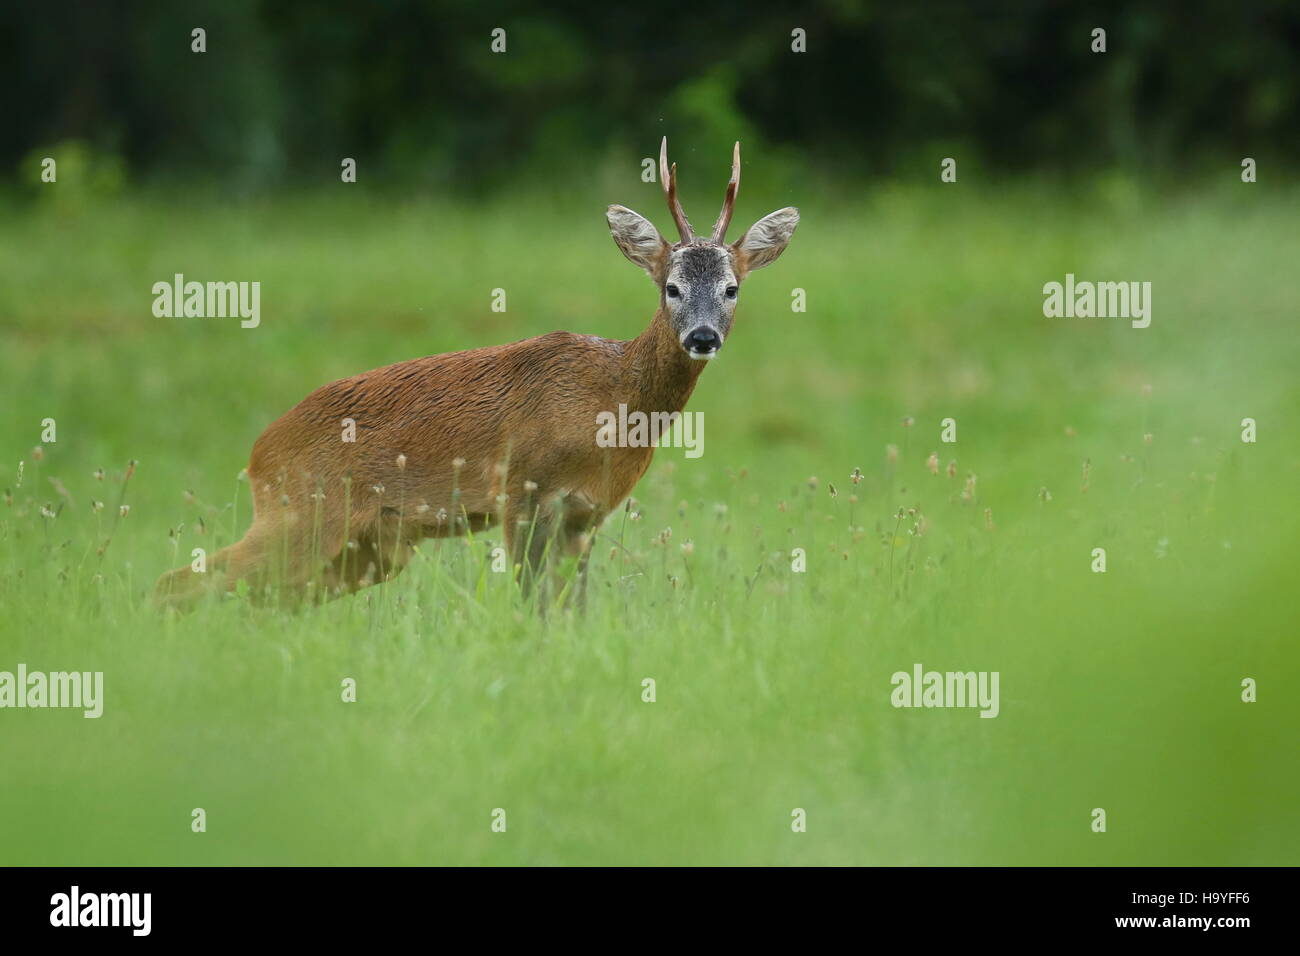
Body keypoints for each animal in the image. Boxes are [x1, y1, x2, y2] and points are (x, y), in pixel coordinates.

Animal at [154, 139, 799, 610]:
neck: (611, 400)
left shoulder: (588, 512)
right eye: (671, 287)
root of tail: (260, 453)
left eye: (731, 288)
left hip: (366, 548)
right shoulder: (521, 489)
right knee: (183, 582)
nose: (703, 337)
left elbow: (572, 608)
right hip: (303, 513)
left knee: (256, 596)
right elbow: (529, 600)